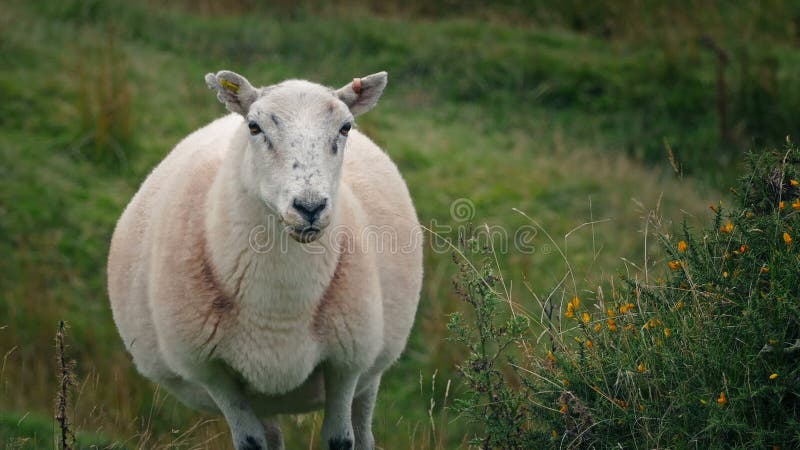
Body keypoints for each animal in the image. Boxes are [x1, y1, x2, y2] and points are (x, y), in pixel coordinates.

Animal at [107, 69, 423, 450]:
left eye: (346, 127)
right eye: (255, 127)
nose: (309, 207)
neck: (279, 309)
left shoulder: (347, 363)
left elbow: (341, 440)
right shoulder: (212, 372)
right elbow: (251, 443)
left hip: (370, 369)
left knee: (363, 431)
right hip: (258, 395)